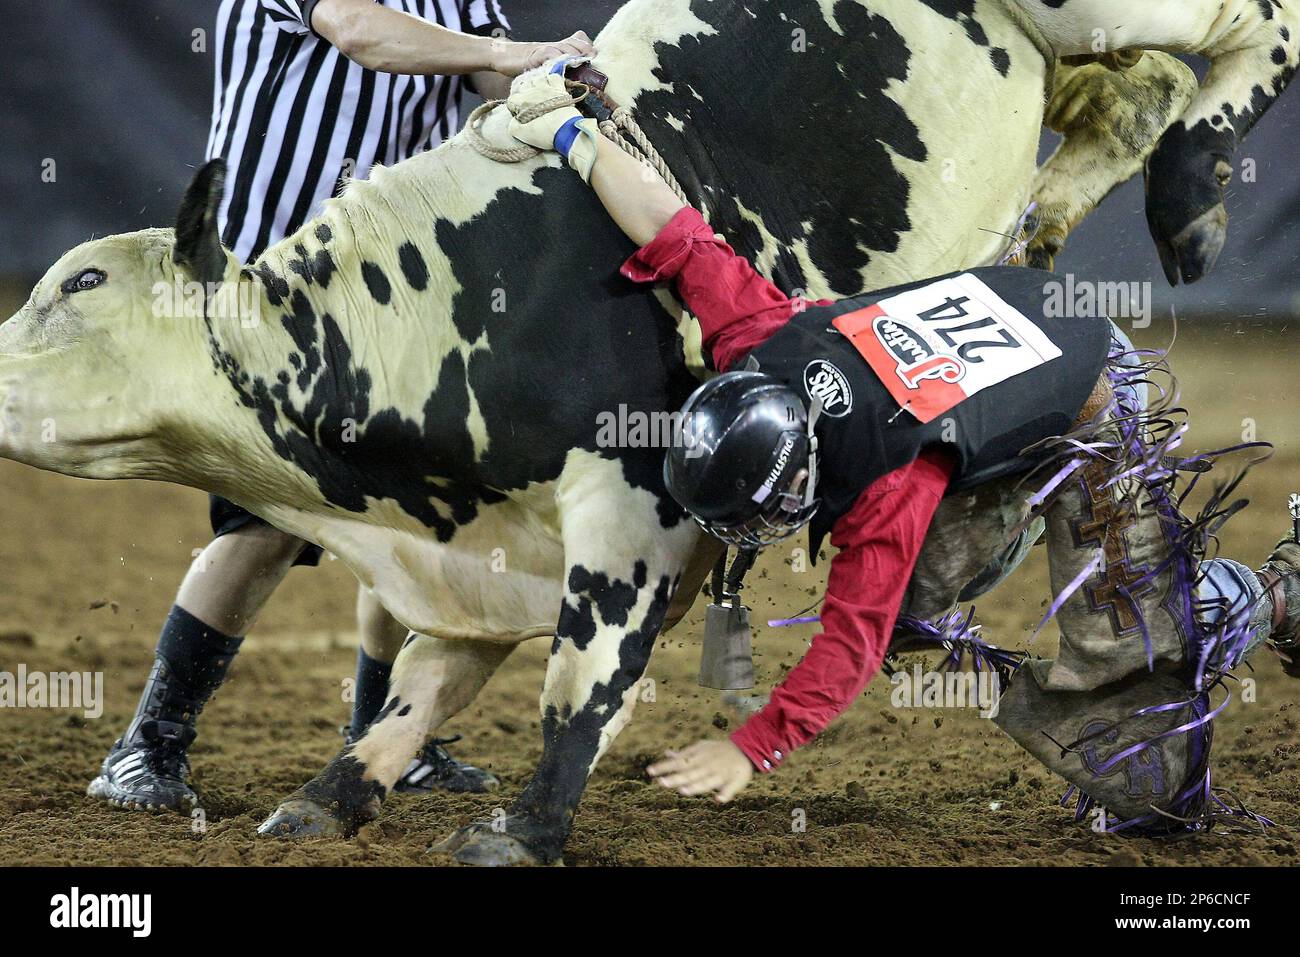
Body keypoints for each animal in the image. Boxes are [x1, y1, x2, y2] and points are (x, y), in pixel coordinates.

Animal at [1, 0, 1294, 866]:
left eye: (80, 283)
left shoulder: (633, 523)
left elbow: (581, 682)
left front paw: (524, 828)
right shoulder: (483, 545)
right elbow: (418, 685)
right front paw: (334, 791)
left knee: (1243, 32)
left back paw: (1191, 196)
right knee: (1130, 91)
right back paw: (1054, 218)